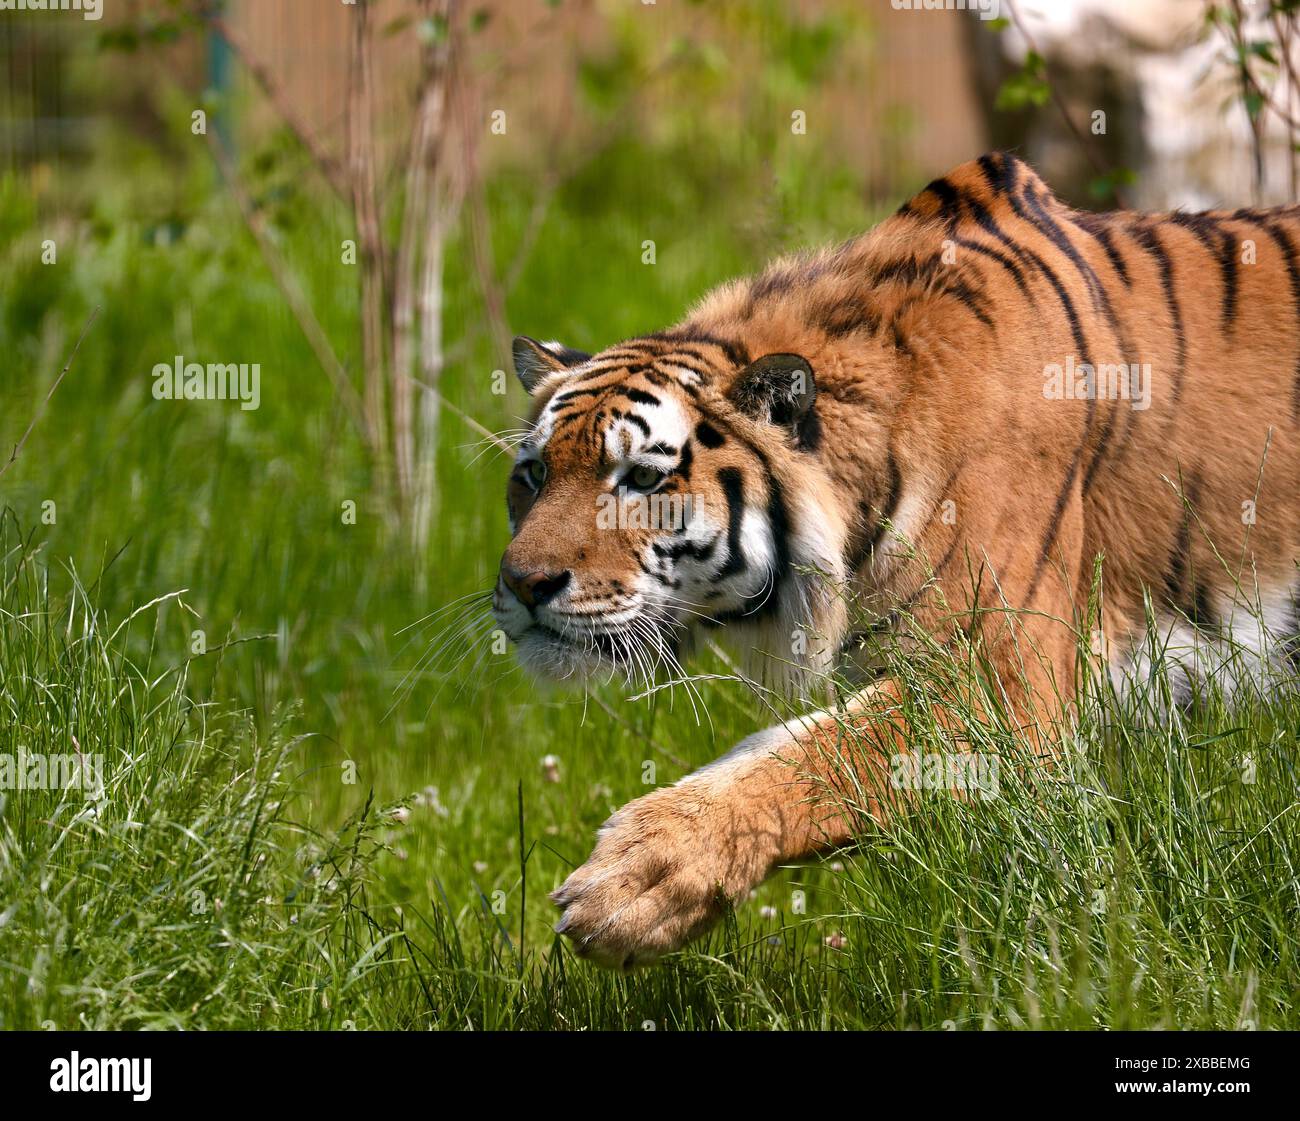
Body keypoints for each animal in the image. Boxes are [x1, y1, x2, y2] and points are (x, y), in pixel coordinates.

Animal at [492, 151, 1300, 970]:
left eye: (642, 479)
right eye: (534, 474)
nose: (522, 585)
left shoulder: (1000, 685)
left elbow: (815, 753)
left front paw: (635, 879)